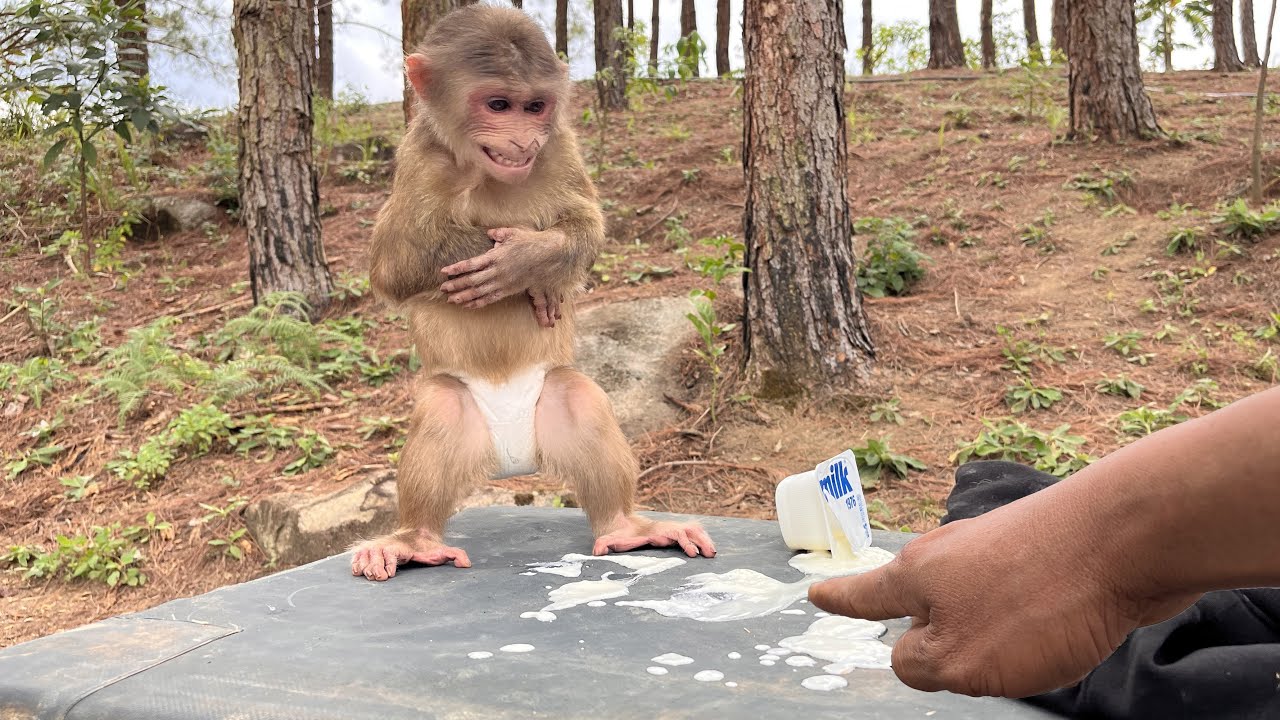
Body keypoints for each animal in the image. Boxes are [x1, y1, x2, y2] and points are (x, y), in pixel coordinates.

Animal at [351, 5, 716, 581]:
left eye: (535, 106)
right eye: (499, 105)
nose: (523, 141)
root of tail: (512, 464)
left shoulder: (560, 144)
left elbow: (588, 226)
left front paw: (531, 260)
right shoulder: (420, 159)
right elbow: (394, 267)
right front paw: (518, 264)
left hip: (551, 403)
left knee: (578, 395)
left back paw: (624, 527)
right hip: (465, 418)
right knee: (442, 406)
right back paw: (416, 540)